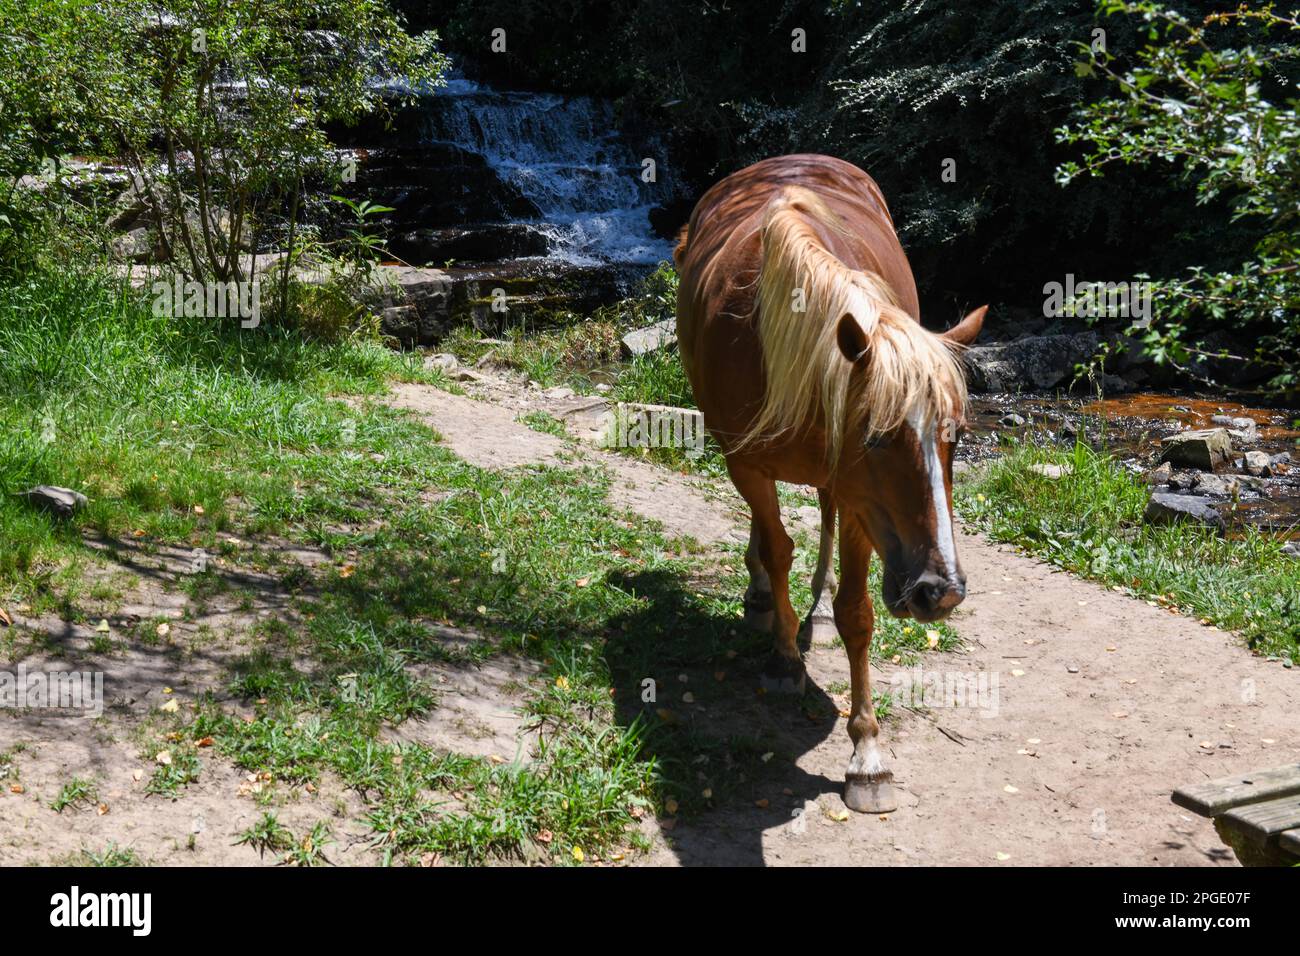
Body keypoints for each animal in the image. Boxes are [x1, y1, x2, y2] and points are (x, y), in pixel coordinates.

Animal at [673, 154, 985, 814]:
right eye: (877, 437)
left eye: (958, 436)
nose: (938, 591)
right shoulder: (748, 464)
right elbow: (776, 547)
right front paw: (784, 657)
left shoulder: (860, 499)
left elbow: (856, 613)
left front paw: (868, 753)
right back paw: (768, 603)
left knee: (823, 517)